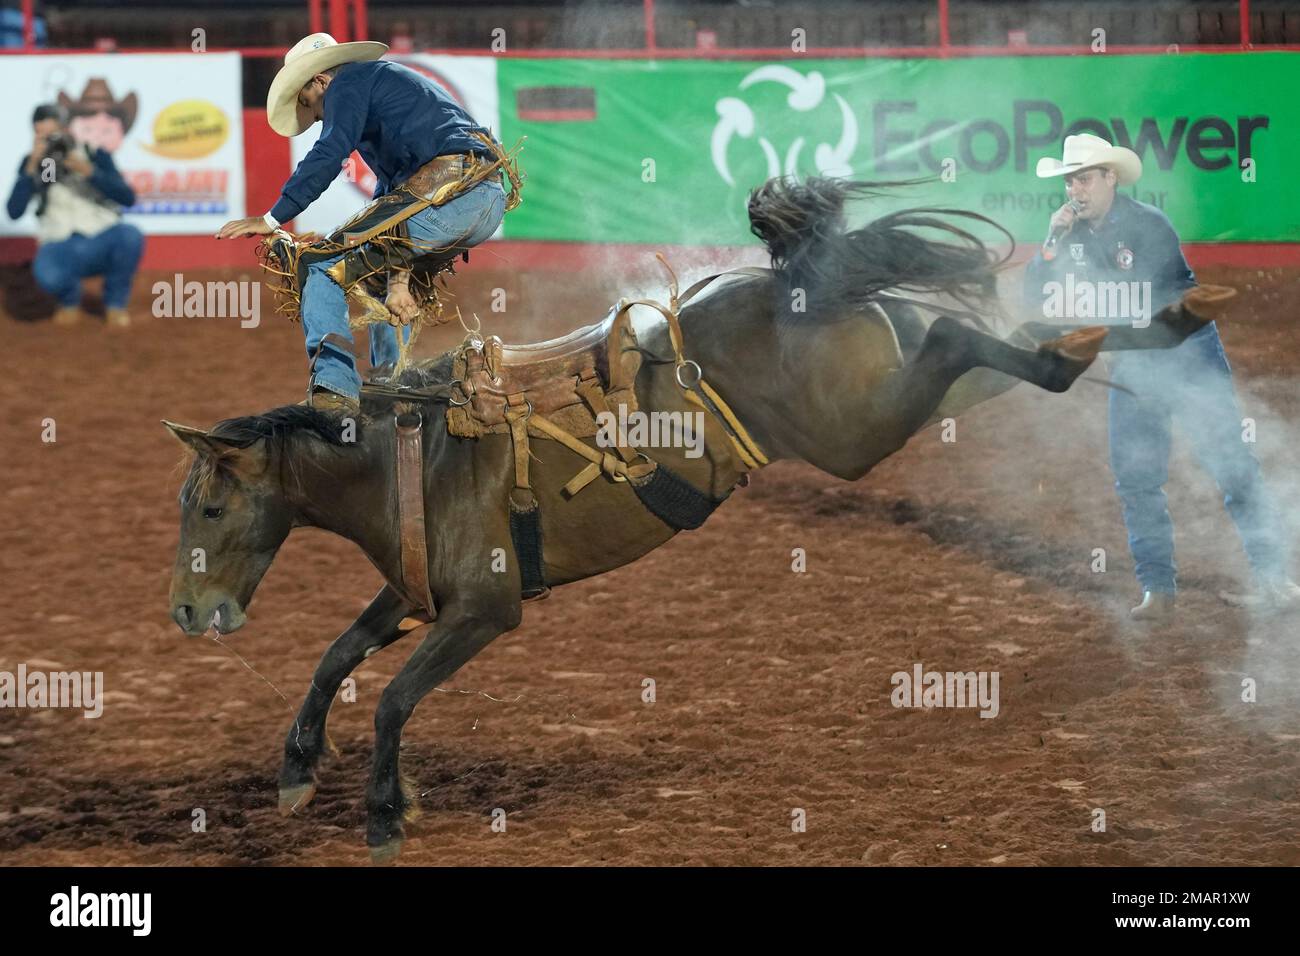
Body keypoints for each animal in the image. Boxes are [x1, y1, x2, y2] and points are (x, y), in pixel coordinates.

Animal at [164, 177, 1226, 861]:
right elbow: (335, 658)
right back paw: (1129, 331)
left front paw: (386, 813)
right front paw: (298, 769)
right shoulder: (416, 595)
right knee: (987, 349)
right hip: (878, 402)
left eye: (211, 504)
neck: (415, 460)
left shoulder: (483, 614)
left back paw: (1105, 339)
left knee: (964, 342)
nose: (183, 612)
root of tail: (794, 282)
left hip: (855, 430)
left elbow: (389, 697)